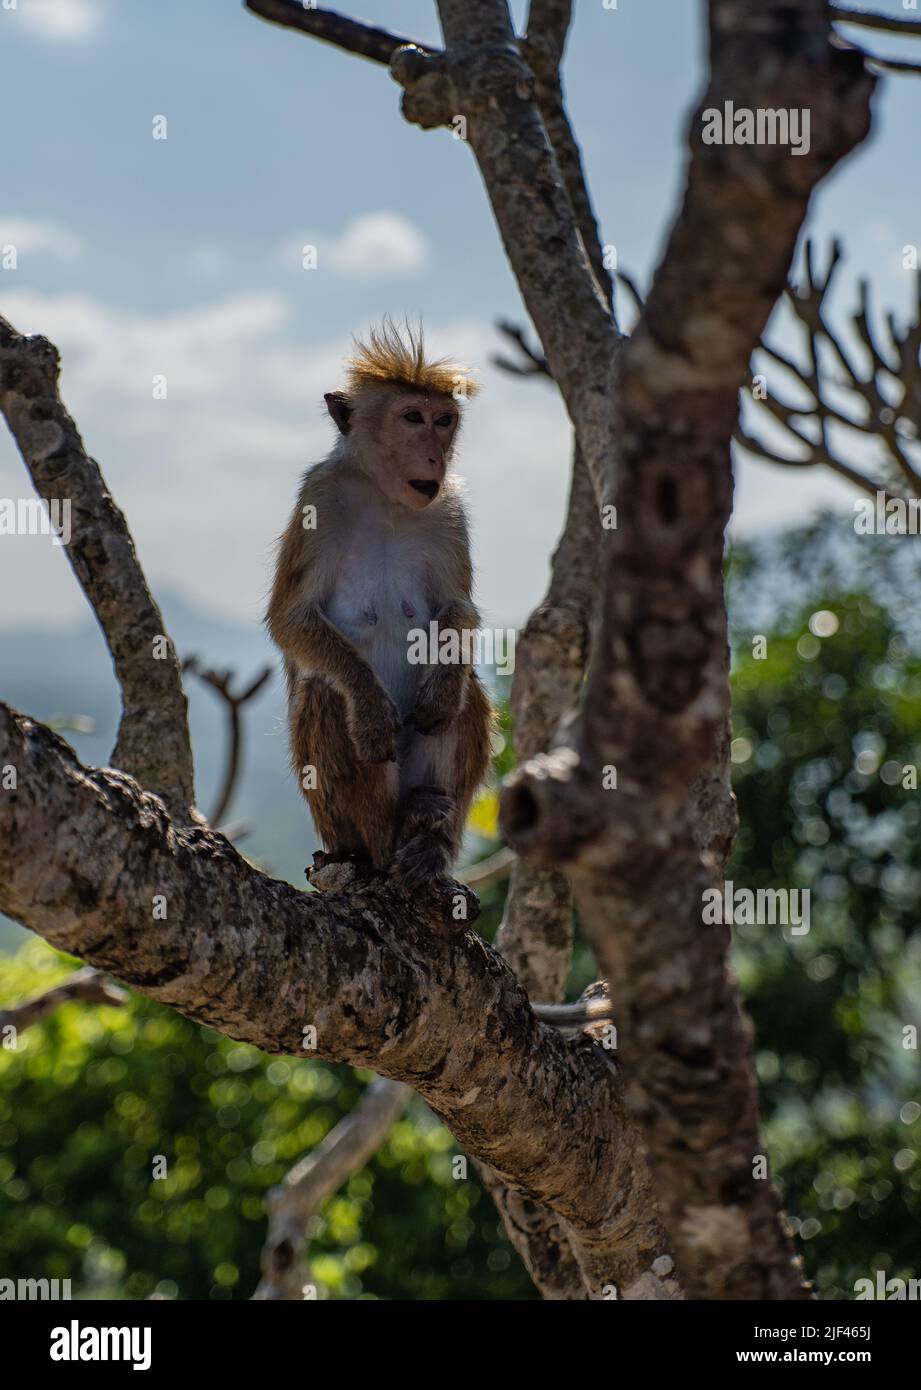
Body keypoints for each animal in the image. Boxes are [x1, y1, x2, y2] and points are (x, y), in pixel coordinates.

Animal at [266, 321, 493, 904]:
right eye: (412, 418)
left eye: (443, 420)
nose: (435, 455)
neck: (386, 498)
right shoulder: (318, 497)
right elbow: (291, 619)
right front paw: (369, 709)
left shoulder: (449, 510)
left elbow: (458, 610)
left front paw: (442, 689)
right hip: (334, 824)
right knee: (325, 692)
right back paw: (386, 842)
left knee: (464, 692)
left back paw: (429, 836)